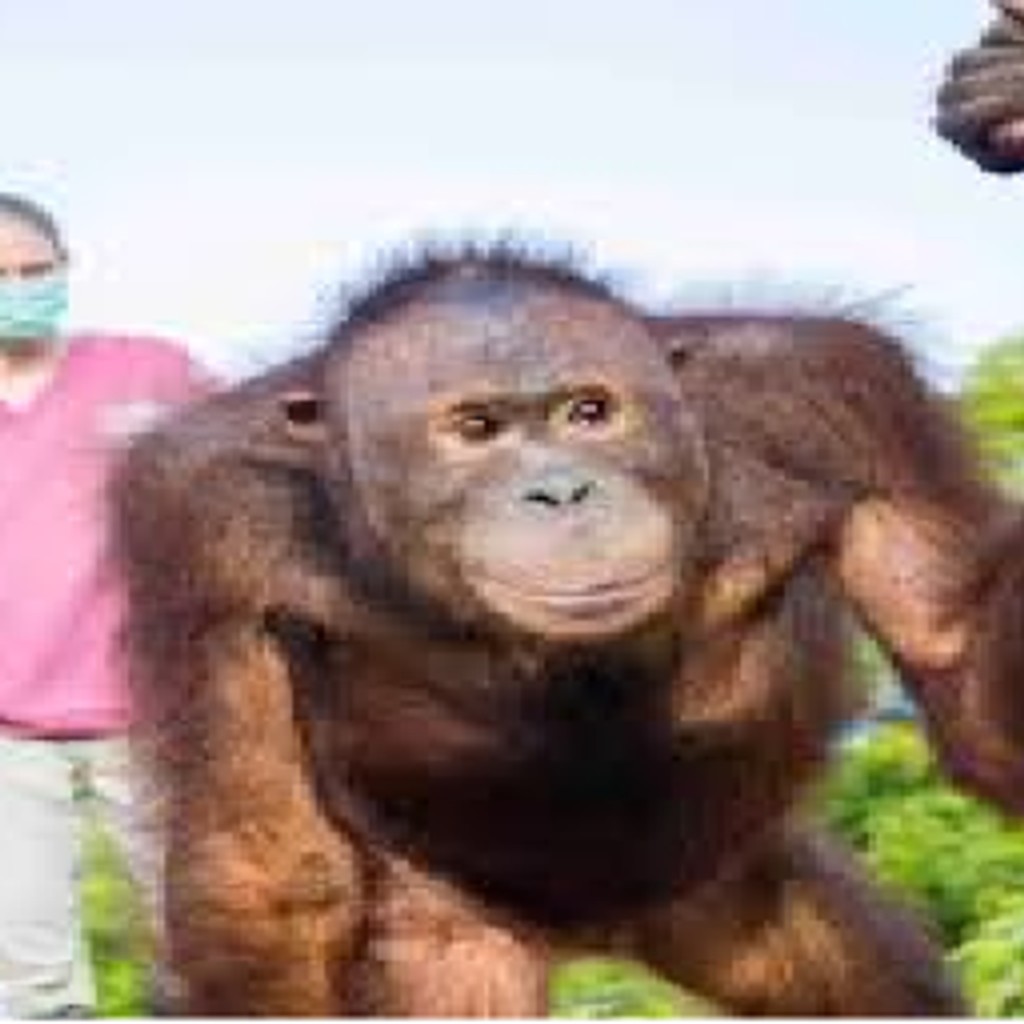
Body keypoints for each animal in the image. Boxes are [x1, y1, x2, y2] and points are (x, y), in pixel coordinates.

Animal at [111, 244, 1024, 1016]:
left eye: (590, 412)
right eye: (477, 429)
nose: (562, 491)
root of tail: (605, 935)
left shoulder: (841, 397)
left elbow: (955, 664)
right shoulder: (195, 515)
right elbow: (265, 876)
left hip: (738, 888)